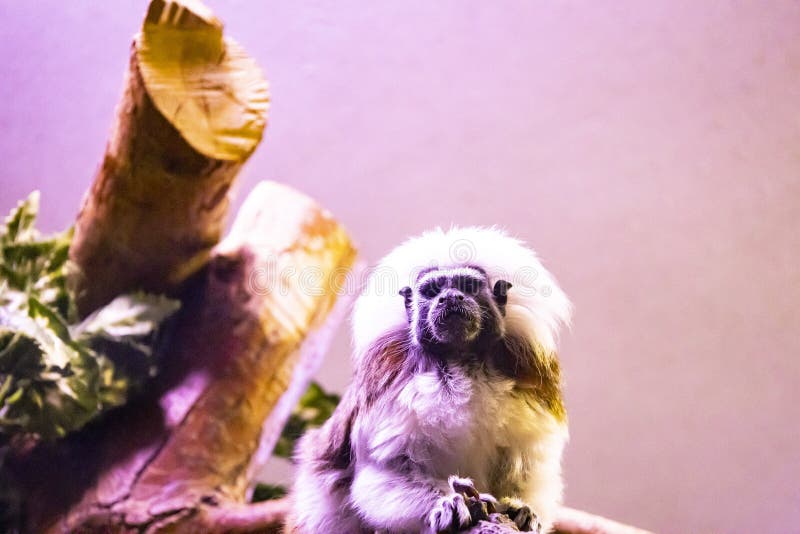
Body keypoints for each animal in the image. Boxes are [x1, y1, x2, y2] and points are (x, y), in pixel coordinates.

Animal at [288, 226, 572, 533]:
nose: (450, 298)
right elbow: (384, 471)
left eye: (466, 287)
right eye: (433, 291)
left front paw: (519, 508)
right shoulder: (391, 387)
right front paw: (448, 503)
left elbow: (527, 466)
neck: (461, 363)